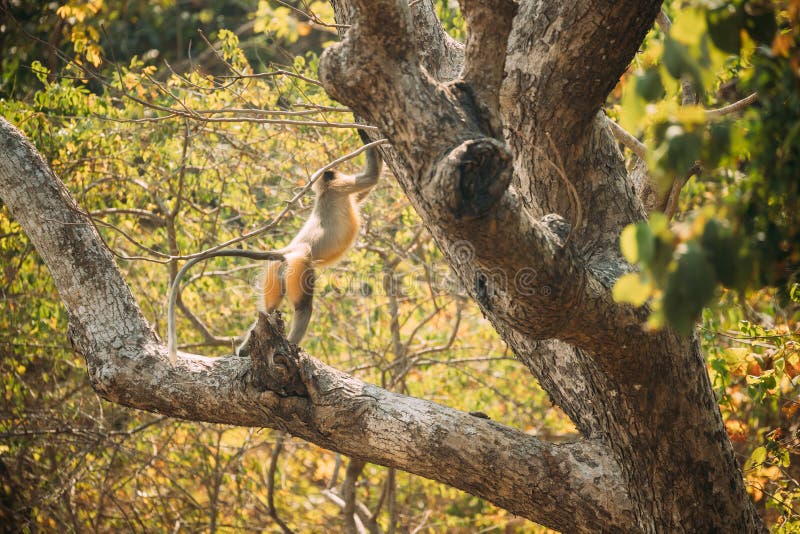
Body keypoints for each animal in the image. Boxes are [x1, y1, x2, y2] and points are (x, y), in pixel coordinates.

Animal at [167, 130, 382, 364]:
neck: (324, 192)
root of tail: (286, 252)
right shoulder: (340, 186)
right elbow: (372, 177)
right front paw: (365, 133)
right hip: (299, 264)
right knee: (303, 307)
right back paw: (290, 347)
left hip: (276, 271)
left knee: (270, 311)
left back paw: (245, 349)